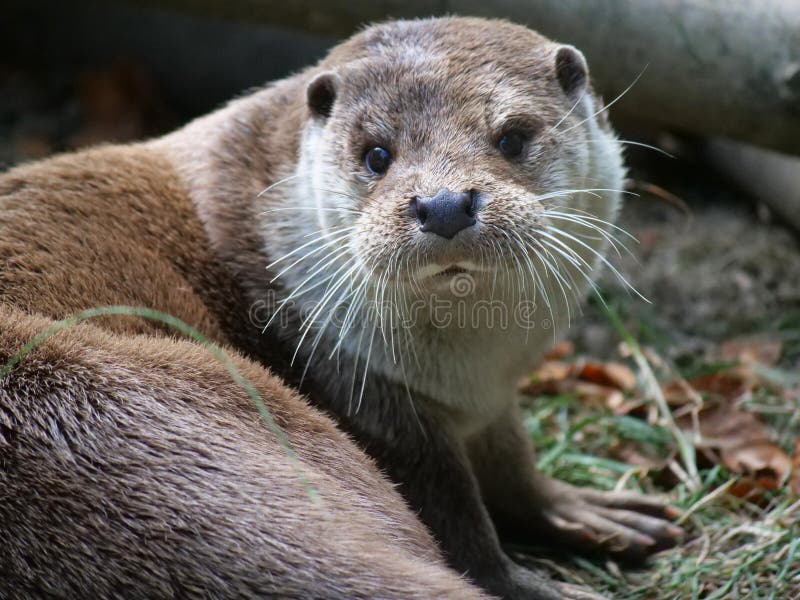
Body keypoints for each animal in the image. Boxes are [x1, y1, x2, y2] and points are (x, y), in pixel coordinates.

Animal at [0, 17, 681, 600]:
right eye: (377, 154)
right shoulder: (376, 403)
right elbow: (461, 524)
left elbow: (511, 460)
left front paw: (581, 507)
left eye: (512, 137)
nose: (443, 204)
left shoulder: (487, 403)